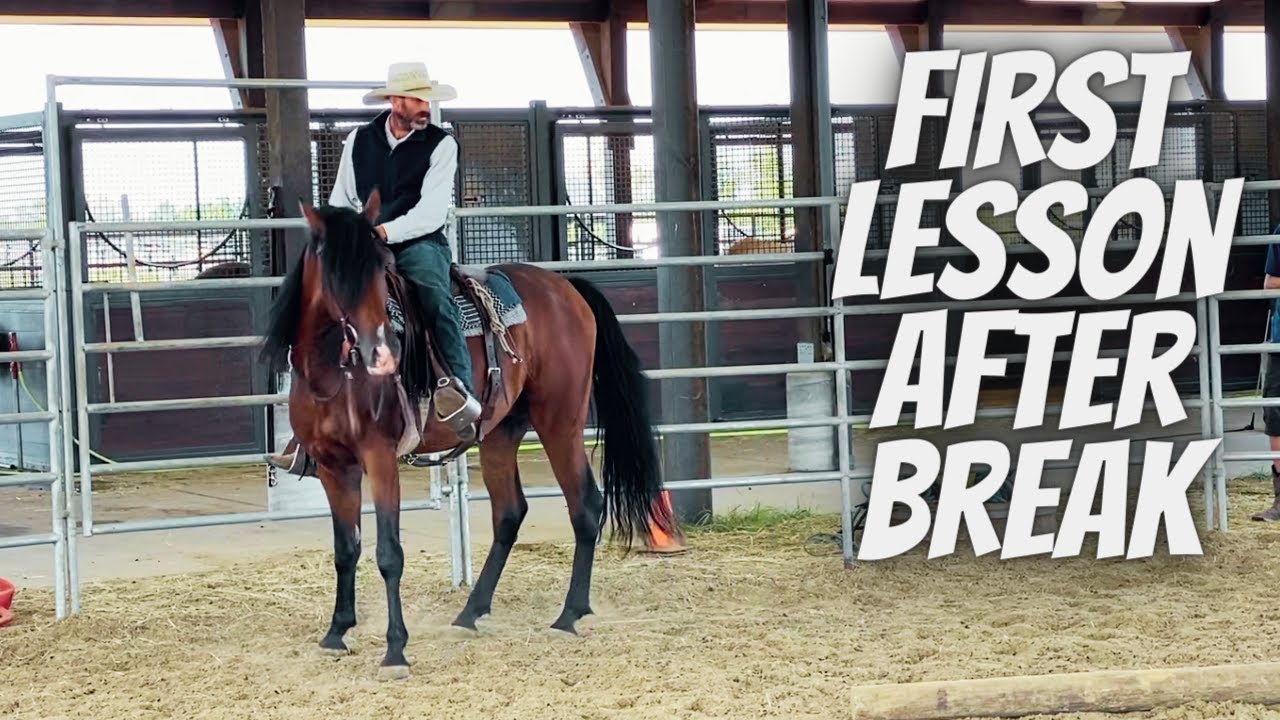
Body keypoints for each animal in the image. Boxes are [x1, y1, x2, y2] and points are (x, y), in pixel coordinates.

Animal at [258, 190, 682, 679]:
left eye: (380, 266)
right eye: (333, 269)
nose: (380, 353)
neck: (333, 373)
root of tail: (566, 288)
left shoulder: (380, 458)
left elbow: (389, 553)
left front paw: (395, 650)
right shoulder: (332, 465)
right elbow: (346, 549)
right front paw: (336, 633)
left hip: (560, 423)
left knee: (586, 506)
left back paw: (568, 614)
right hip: (502, 432)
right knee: (509, 512)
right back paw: (471, 611)